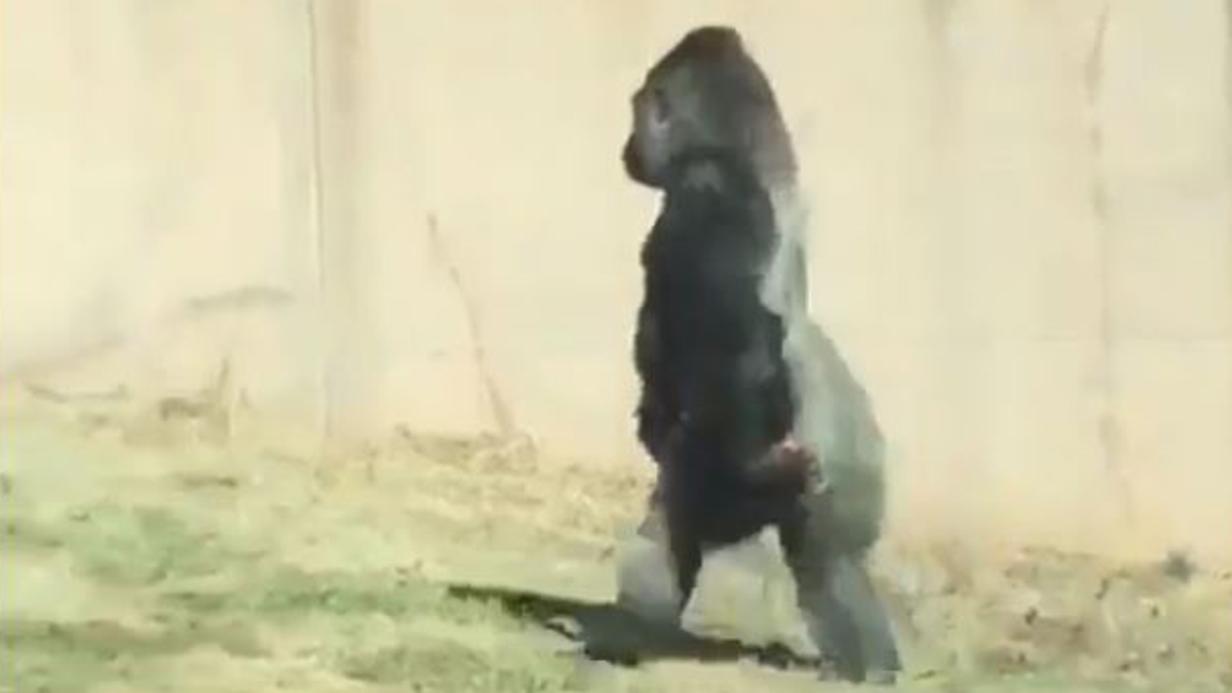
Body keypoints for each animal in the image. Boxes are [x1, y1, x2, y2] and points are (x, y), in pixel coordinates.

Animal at [620, 26, 900, 683]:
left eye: (641, 112)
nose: (626, 148)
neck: (740, 148)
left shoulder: (709, 195)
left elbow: (739, 333)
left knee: (679, 525)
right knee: (834, 569)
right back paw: (874, 662)